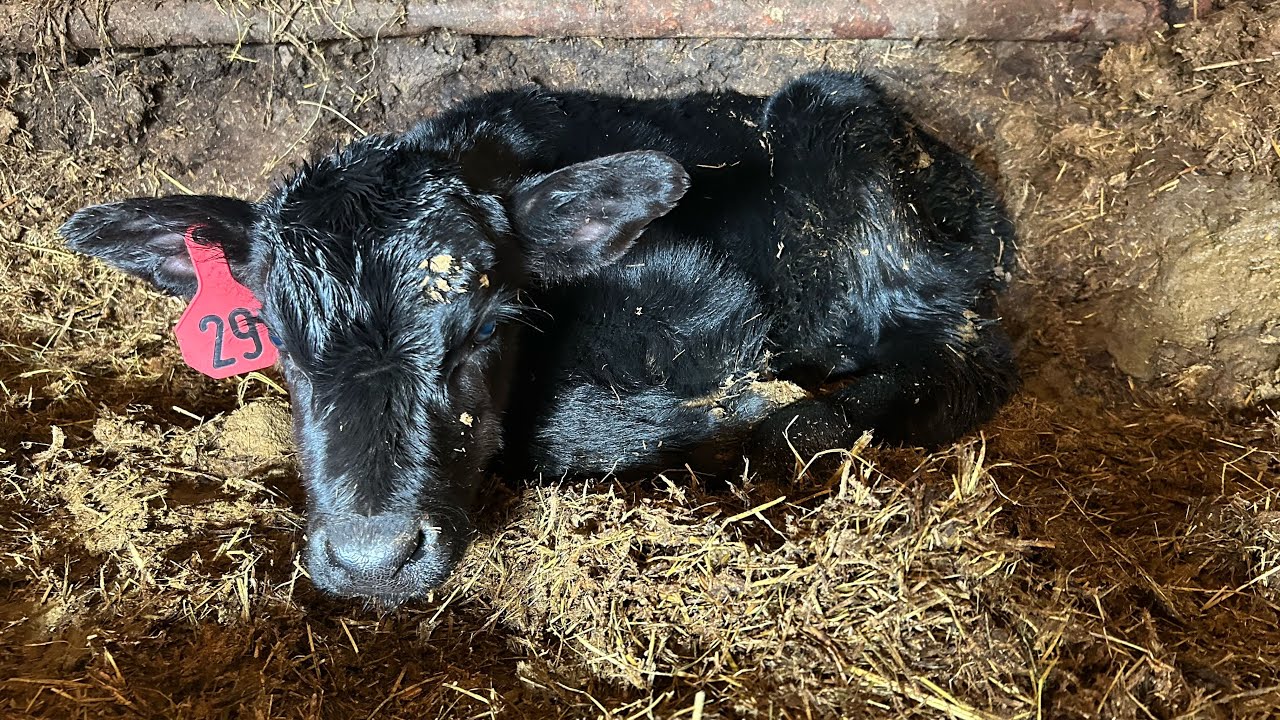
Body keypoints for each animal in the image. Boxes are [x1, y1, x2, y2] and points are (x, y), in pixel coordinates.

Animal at [61, 71, 1018, 605]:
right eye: (281, 343)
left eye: (487, 325)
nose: (372, 561)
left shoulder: (716, 307)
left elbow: (561, 428)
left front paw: (750, 414)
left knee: (959, 366)